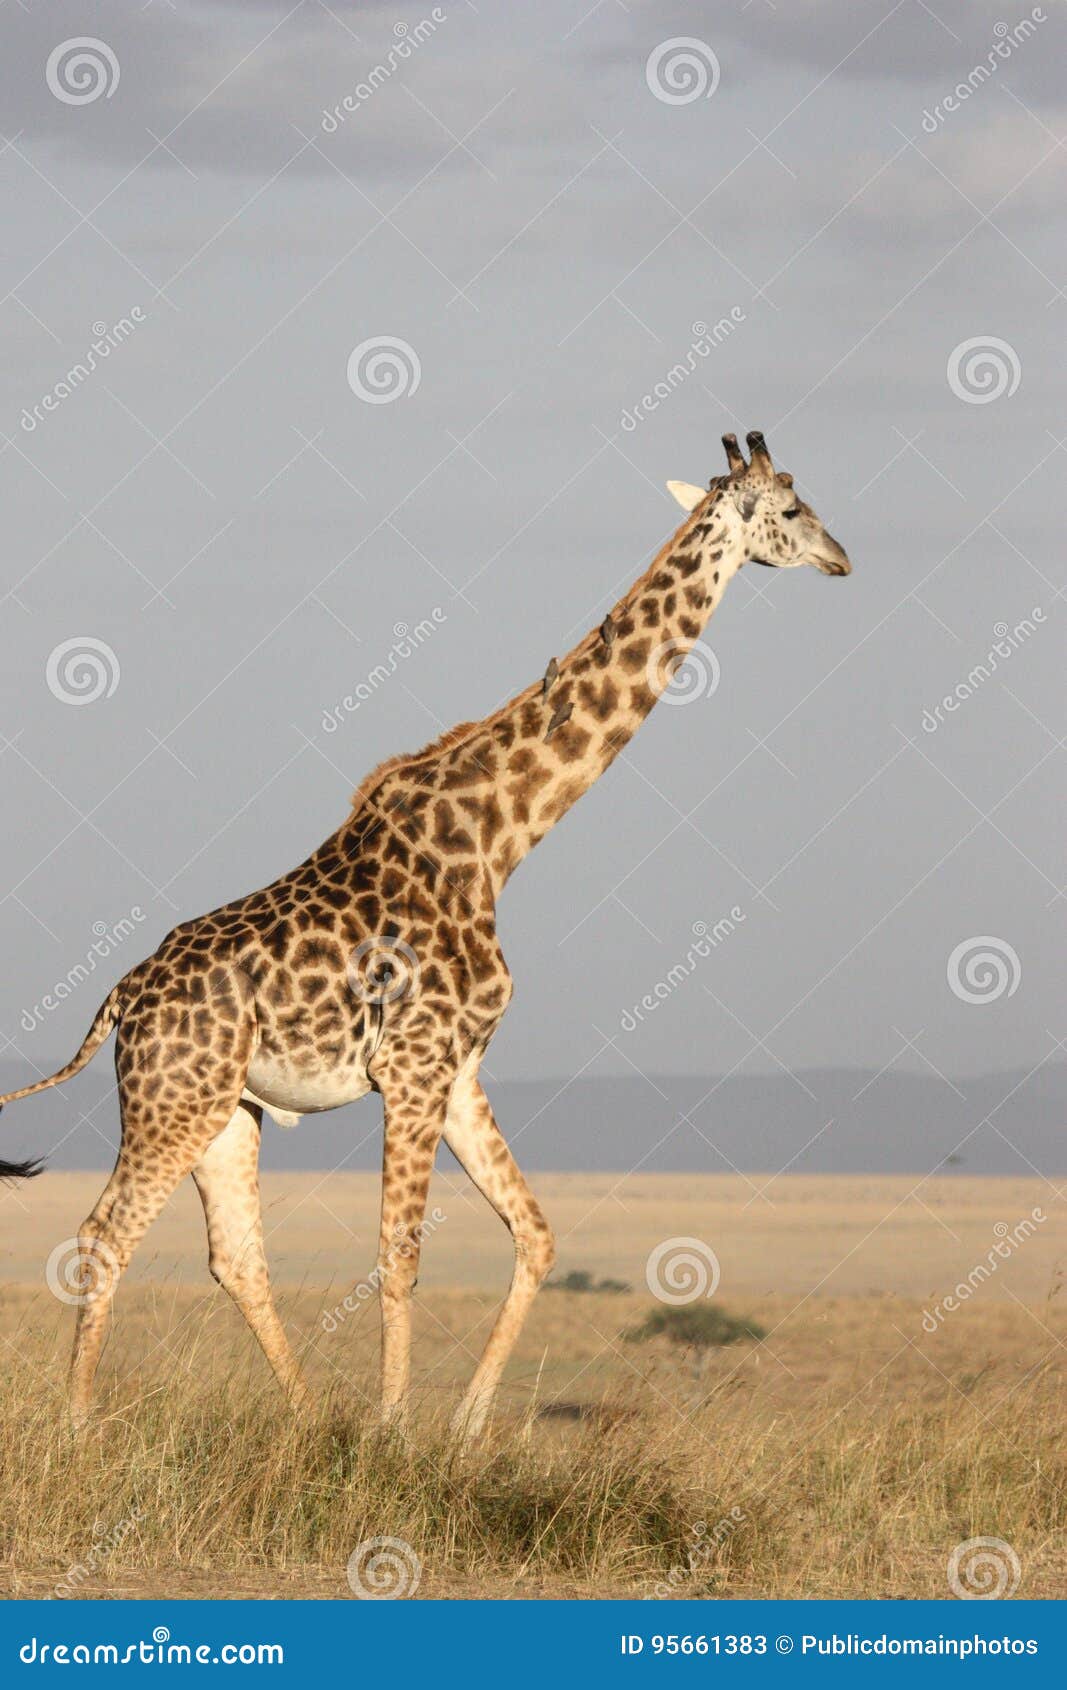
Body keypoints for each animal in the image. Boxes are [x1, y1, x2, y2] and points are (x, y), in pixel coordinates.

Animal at [0, 430, 850, 1437]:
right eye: (792, 510)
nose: (842, 558)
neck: (499, 839)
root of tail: (119, 1000)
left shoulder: (459, 1066)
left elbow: (535, 1234)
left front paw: (465, 1428)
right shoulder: (411, 1066)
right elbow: (399, 1253)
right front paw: (393, 1430)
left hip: (226, 1110)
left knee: (234, 1255)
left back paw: (305, 1416)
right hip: (173, 1101)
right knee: (104, 1233)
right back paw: (79, 1424)